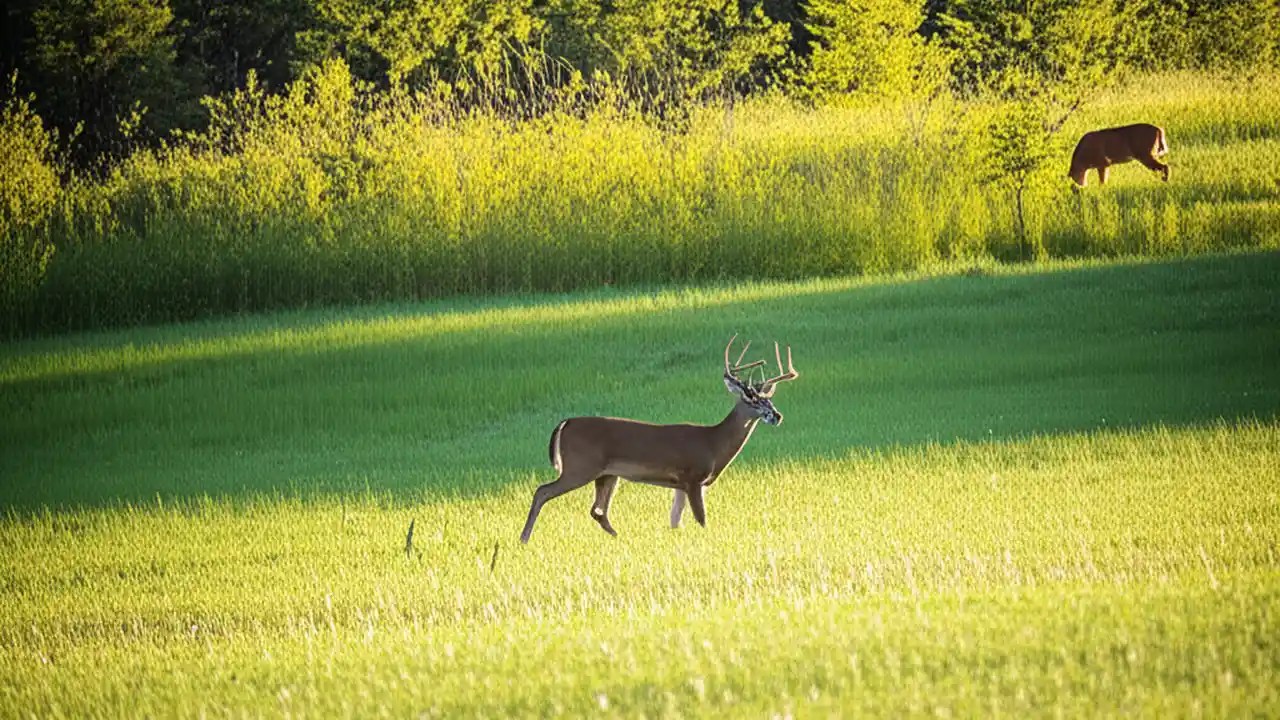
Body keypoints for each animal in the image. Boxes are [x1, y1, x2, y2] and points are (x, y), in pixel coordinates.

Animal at [519, 336, 799, 544]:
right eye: (751, 399)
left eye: (769, 399)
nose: (776, 416)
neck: (713, 443)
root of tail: (566, 422)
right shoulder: (693, 477)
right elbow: (701, 519)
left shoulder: (681, 484)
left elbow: (676, 520)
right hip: (580, 466)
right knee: (543, 491)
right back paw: (524, 538)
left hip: (607, 474)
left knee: (598, 510)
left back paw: (619, 537)